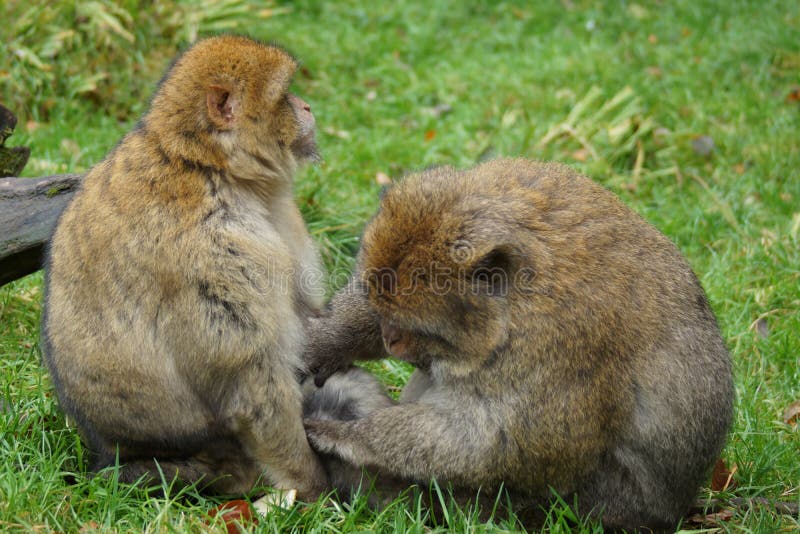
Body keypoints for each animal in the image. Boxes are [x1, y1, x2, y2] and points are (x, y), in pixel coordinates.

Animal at [41, 35, 329, 500]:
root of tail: (108, 447)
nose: (305, 106)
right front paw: (314, 486)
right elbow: (253, 382)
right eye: (284, 94)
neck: (207, 164)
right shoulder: (213, 252)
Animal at [301, 158, 734, 530]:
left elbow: (501, 444)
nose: (391, 339)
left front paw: (350, 438)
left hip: (597, 509)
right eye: (382, 308)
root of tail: (678, 507)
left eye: (417, 327)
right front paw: (326, 344)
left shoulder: (554, 342)